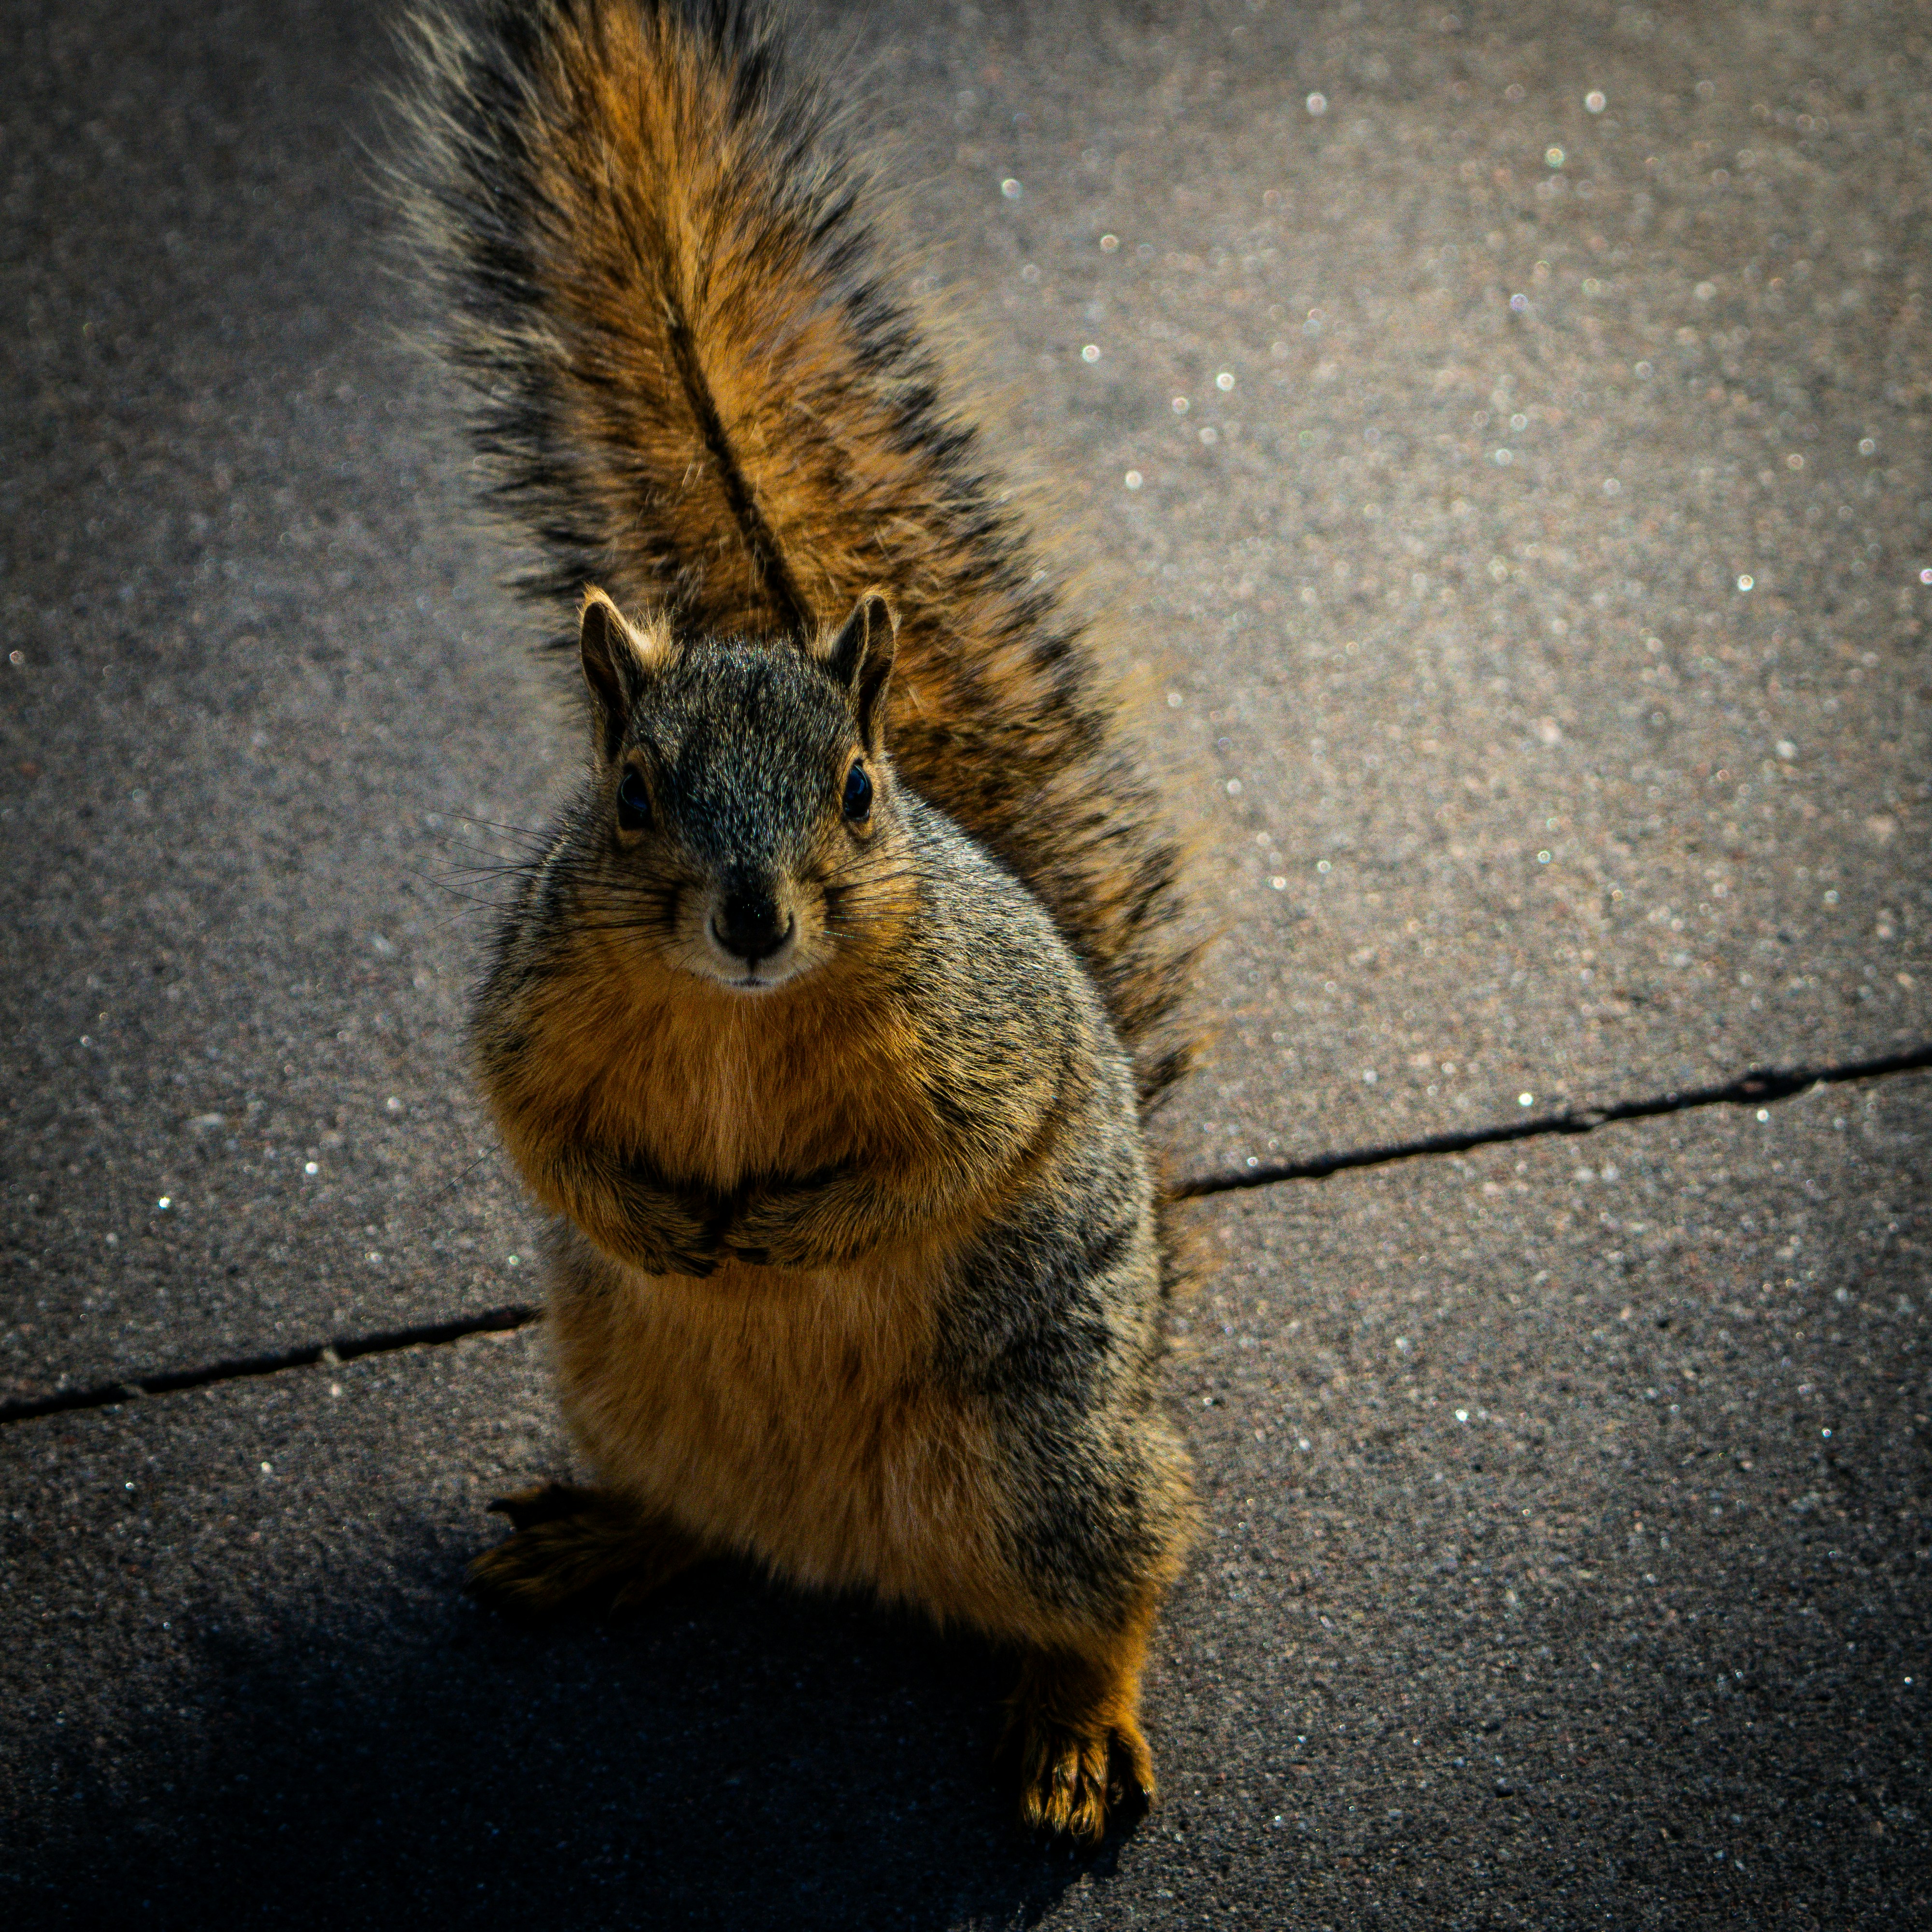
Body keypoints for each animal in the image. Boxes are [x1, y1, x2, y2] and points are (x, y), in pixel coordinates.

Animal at [402, 0, 1202, 1844]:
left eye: (855, 790)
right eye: (629, 792)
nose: (755, 918)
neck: (737, 1016)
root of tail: (845, 1549)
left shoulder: (992, 1040)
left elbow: (951, 1158)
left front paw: (785, 1233)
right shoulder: (529, 994)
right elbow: (525, 1120)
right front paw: (649, 1214)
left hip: (1053, 1455)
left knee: (1124, 1574)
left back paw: (1073, 1735)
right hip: (619, 1385)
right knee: (703, 1525)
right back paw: (606, 1539)